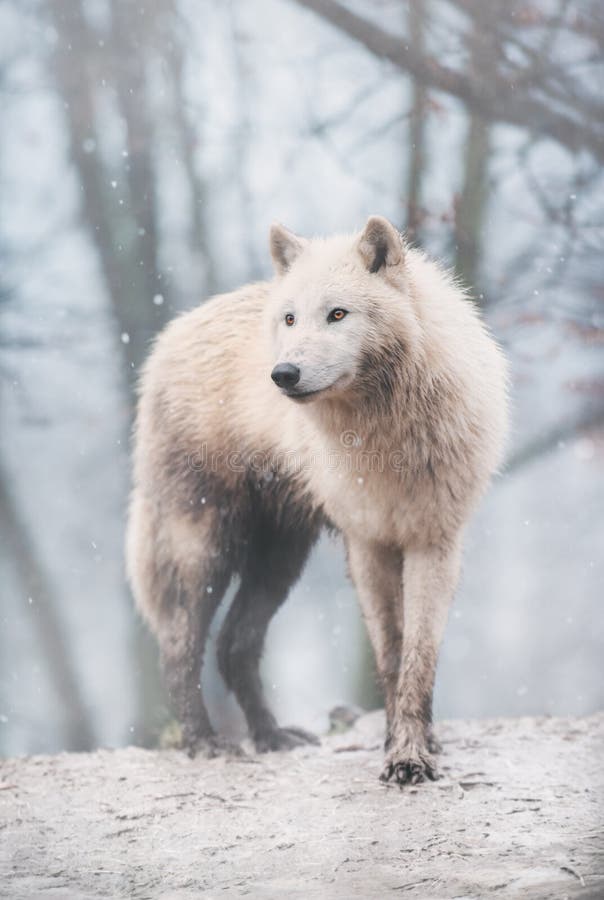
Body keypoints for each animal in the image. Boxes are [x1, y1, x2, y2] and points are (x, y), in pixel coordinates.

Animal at [126, 215, 508, 785]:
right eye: (290, 318)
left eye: (337, 314)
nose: (282, 374)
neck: (382, 436)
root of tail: (168, 337)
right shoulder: (367, 543)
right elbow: (390, 654)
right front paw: (401, 751)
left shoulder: (433, 542)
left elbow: (418, 655)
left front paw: (414, 750)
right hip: (206, 549)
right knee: (178, 648)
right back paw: (204, 743)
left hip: (279, 558)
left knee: (234, 646)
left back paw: (270, 737)